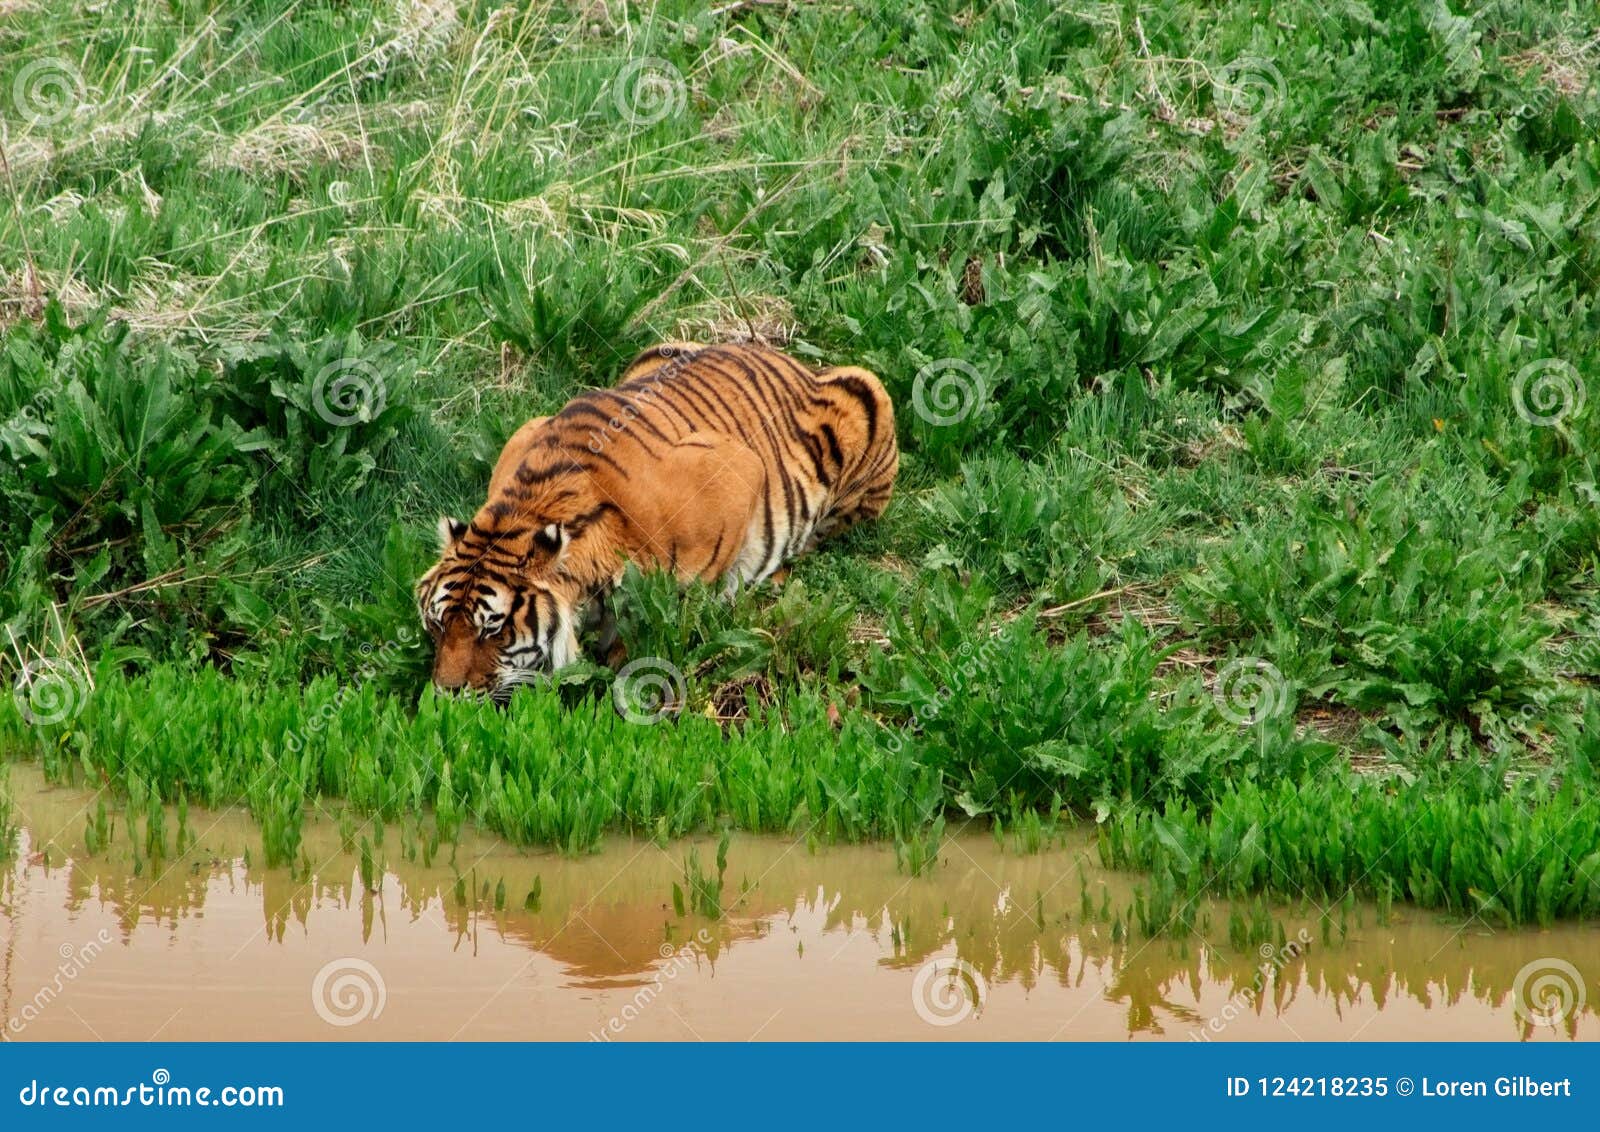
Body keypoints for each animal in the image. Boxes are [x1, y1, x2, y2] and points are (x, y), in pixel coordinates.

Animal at [415, 341, 899, 697]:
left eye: (493, 633)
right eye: (438, 625)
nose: (446, 693)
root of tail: (785, 357)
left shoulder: (736, 468)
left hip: (868, 400)